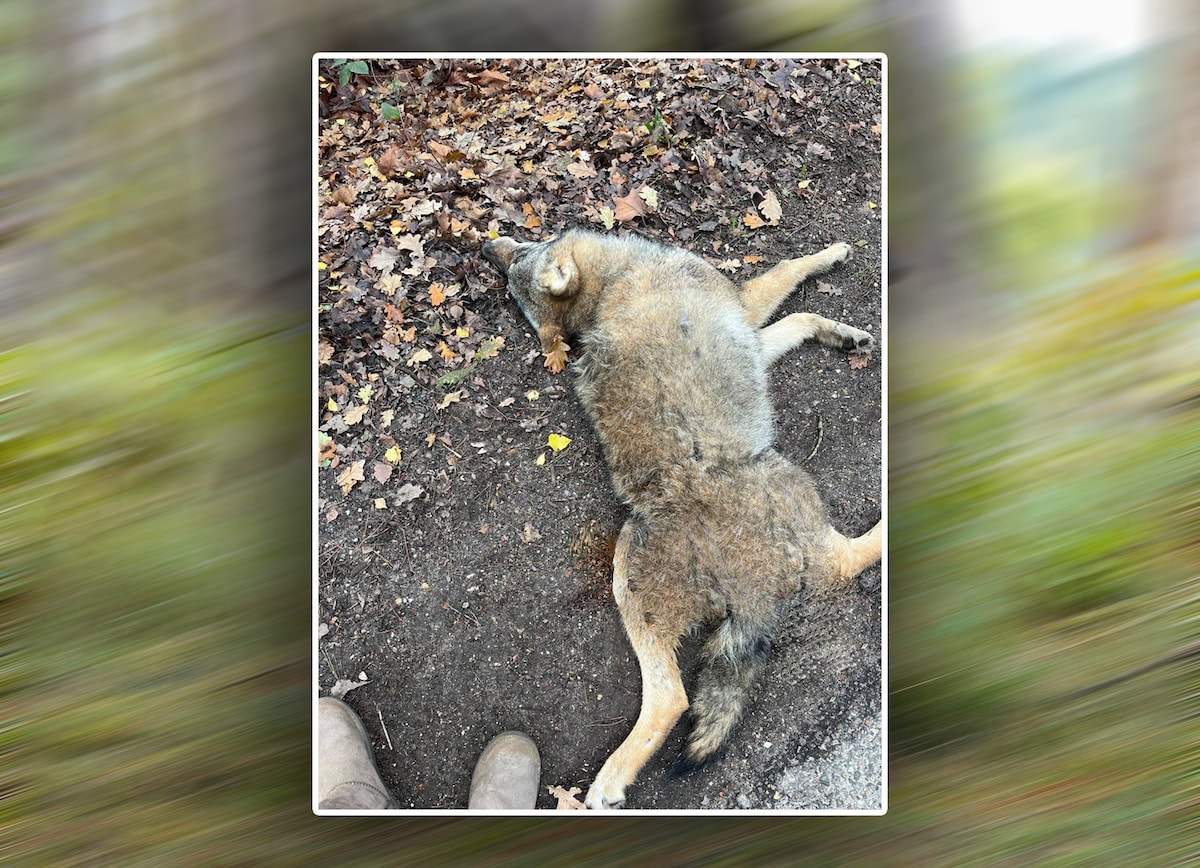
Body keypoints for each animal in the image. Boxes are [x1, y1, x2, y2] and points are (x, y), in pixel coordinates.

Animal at [482, 229, 882, 809]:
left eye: (517, 264)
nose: (483, 247)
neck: (611, 288)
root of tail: (747, 596)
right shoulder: (747, 309)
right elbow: (792, 278)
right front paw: (832, 260)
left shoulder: (752, 334)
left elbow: (801, 315)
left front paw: (843, 333)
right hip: (777, 496)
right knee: (847, 561)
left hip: (629, 577)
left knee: (670, 696)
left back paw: (609, 781)